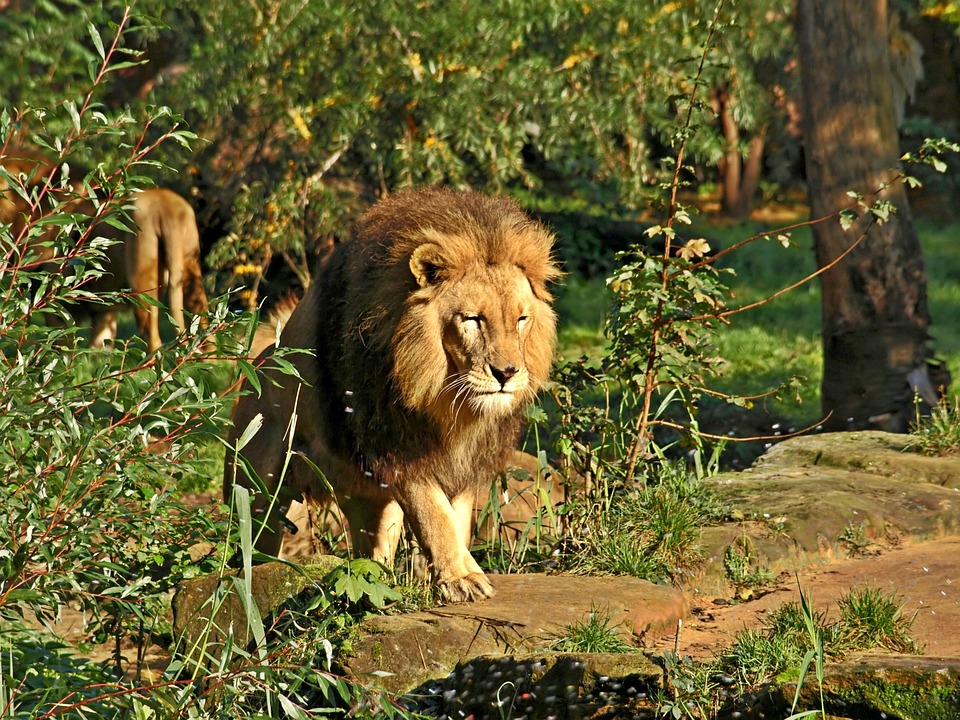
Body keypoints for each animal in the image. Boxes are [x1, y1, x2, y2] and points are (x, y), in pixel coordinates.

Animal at [223, 188, 561, 602]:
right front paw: (461, 577)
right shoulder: (396, 445)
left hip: (365, 497)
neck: (447, 399)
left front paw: (452, 572)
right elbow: (434, 514)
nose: (507, 373)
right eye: (472, 319)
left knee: (373, 549)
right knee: (254, 545)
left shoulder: (466, 462)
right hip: (256, 493)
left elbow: (456, 519)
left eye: (521, 319)